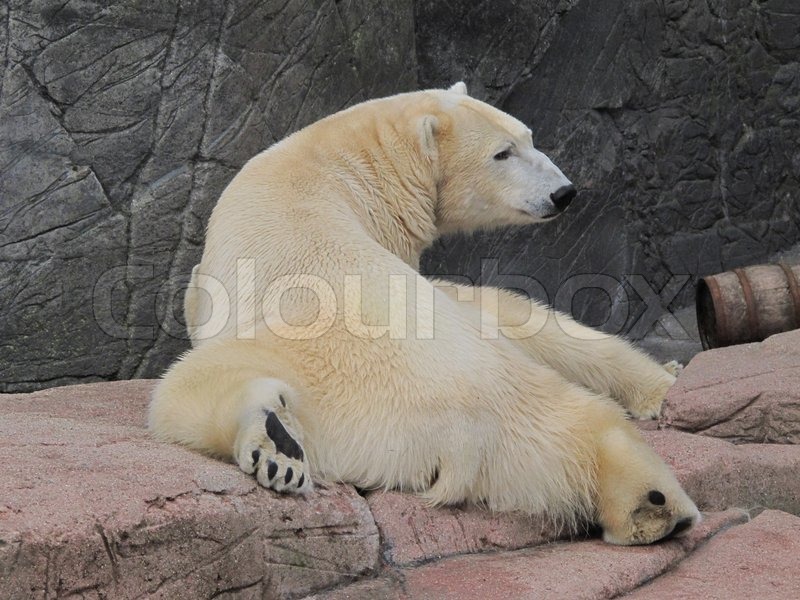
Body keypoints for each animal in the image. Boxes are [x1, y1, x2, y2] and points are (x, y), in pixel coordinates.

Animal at [149, 82, 701, 545]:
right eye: (503, 152)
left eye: (528, 137)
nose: (563, 193)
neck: (348, 159)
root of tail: (466, 424)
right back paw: (653, 501)